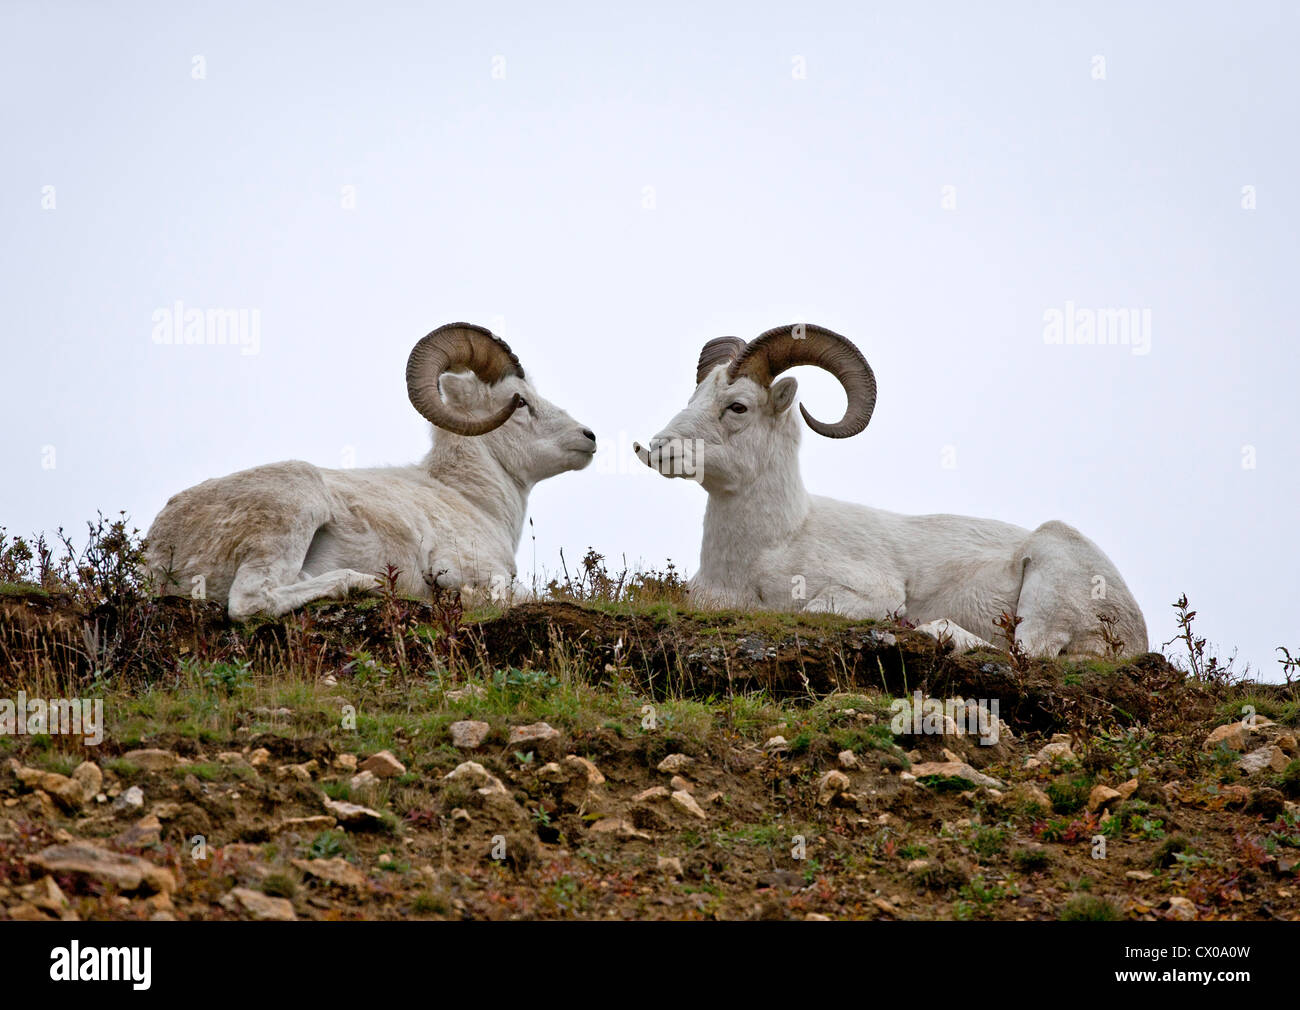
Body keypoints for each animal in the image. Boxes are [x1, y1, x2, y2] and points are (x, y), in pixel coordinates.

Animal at [146, 323, 596, 619]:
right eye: (520, 402)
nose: (588, 436)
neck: (473, 501)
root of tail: (159, 548)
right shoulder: (464, 568)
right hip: (292, 511)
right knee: (251, 601)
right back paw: (364, 584)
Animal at [634, 324, 1148, 656]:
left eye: (737, 406)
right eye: (695, 397)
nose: (655, 448)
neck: (767, 549)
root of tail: (1134, 629)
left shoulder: (867, 594)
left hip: (1047, 580)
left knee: (1027, 653)